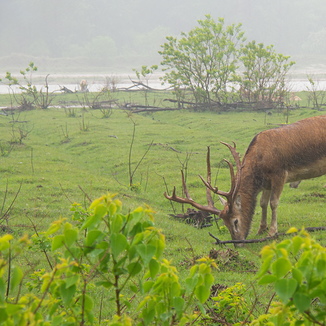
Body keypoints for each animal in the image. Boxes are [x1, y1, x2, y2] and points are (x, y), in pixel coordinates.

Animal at [166, 114, 326, 244]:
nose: (237, 243)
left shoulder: (279, 174)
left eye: (235, 221)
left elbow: (273, 203)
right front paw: (261, 229)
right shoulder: (266, 182)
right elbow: (262, 203)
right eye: (224, 222)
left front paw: (272, 232)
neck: (259, 163)